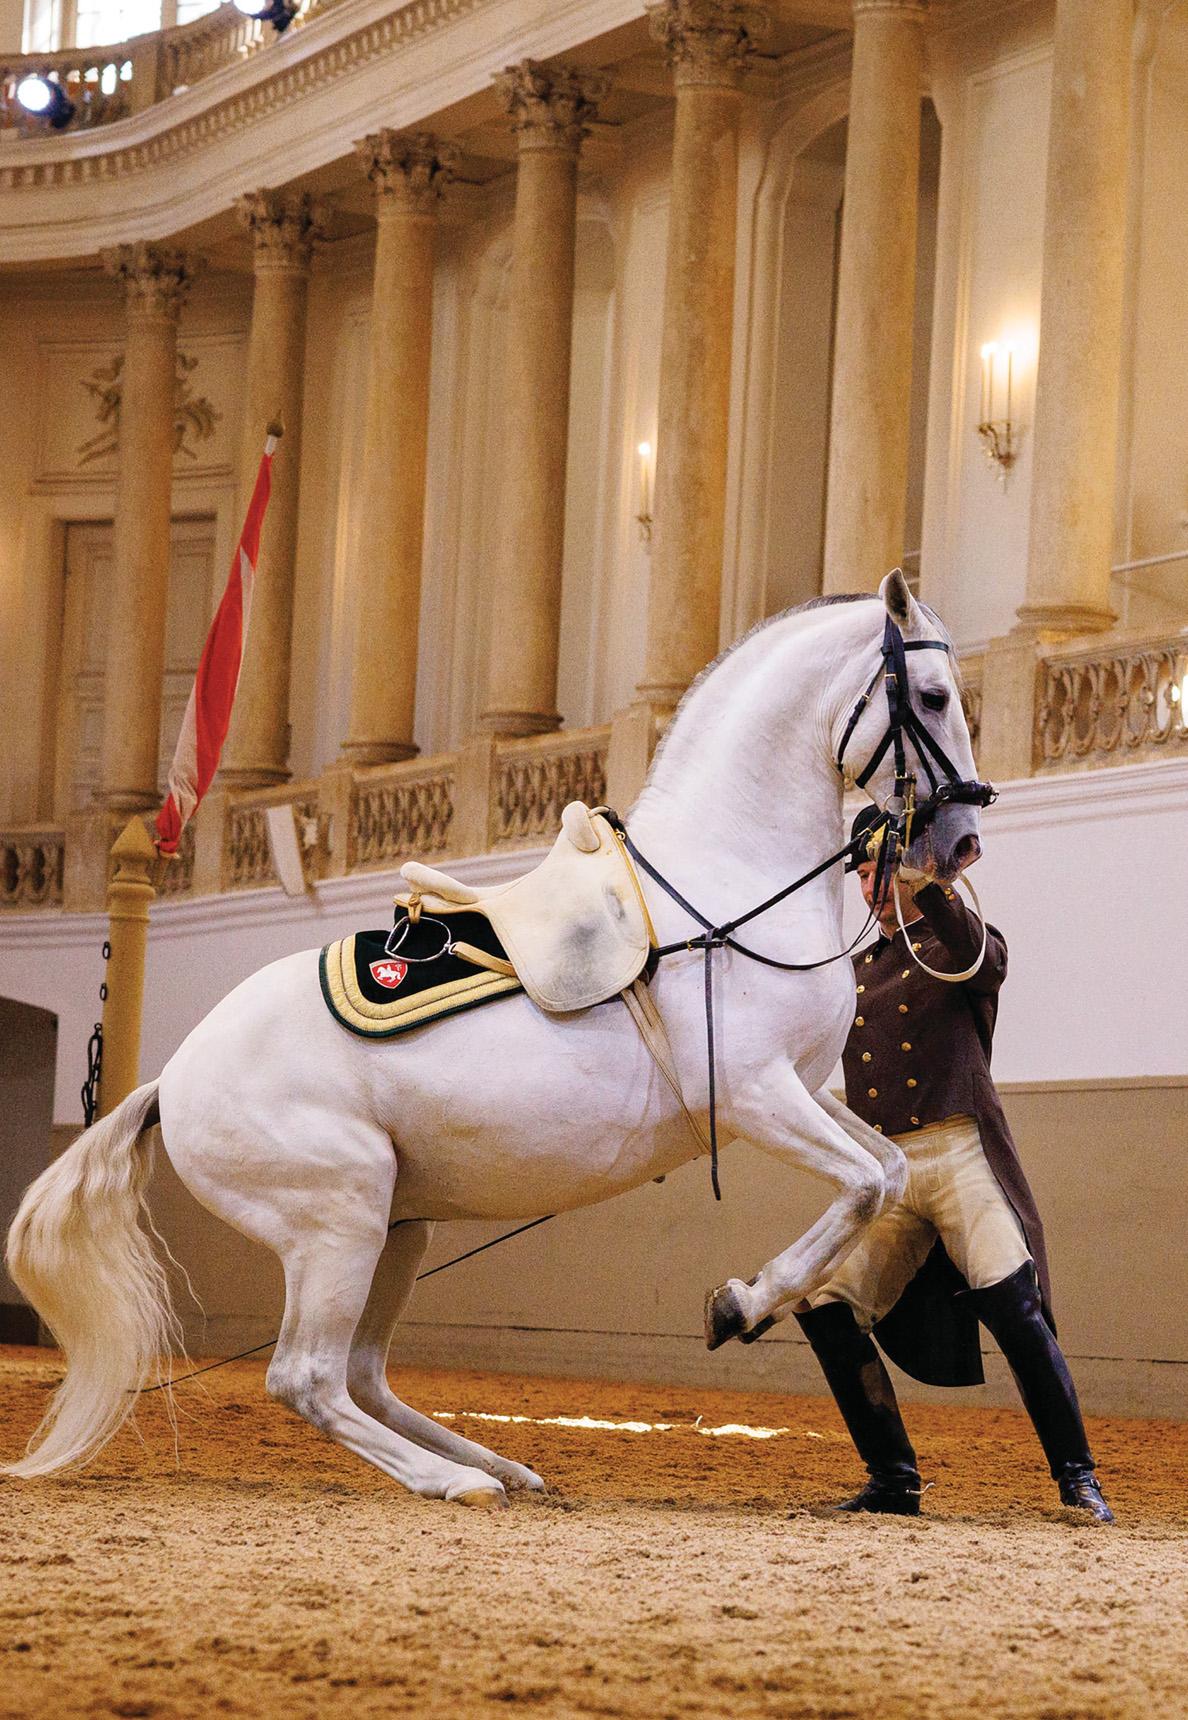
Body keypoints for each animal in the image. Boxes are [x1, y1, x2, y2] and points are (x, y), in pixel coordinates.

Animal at [4, 571, 985, 1506]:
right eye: (935, 696)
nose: (964, 840)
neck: (726, 886)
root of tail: (171, 1081)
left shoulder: (805, 1090)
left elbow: (888, 1168)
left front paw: (745, 1301)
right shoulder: (750, 1095)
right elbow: (862, 1186)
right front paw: (738, 1307)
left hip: (399, 1227)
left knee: (363, 1374)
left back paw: (500, 1464)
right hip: (337, 1221)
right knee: (307, 1378)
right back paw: (455, 1480)